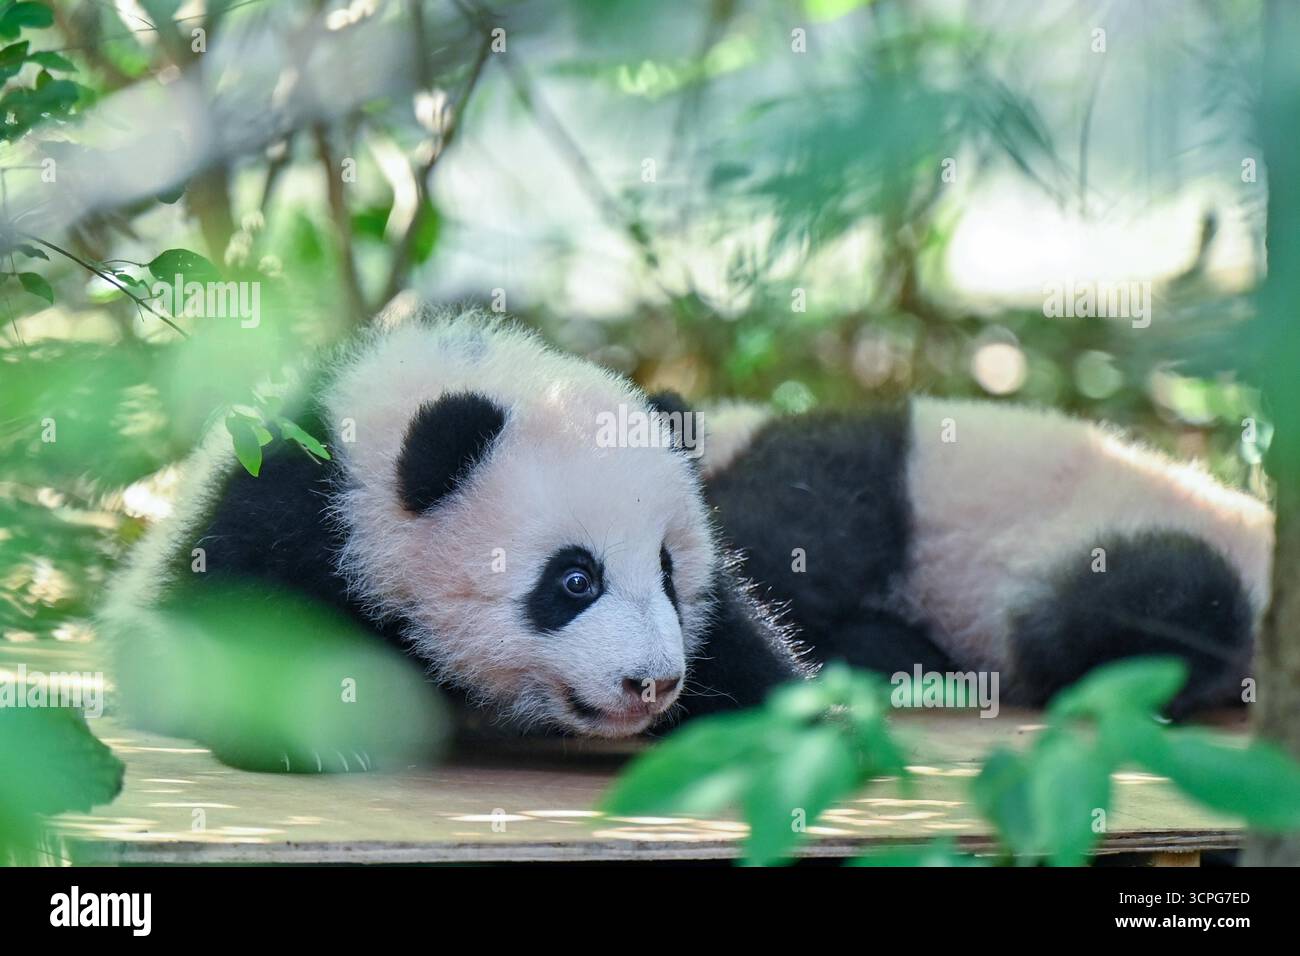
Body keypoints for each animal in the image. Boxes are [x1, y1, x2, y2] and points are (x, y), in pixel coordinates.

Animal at [102, 302, 808, 771]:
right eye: (575, 580)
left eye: (667, 572)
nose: (653, 683)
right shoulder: (288, 507)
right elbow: (242, 617)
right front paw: (307, 732)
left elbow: (735, 642)